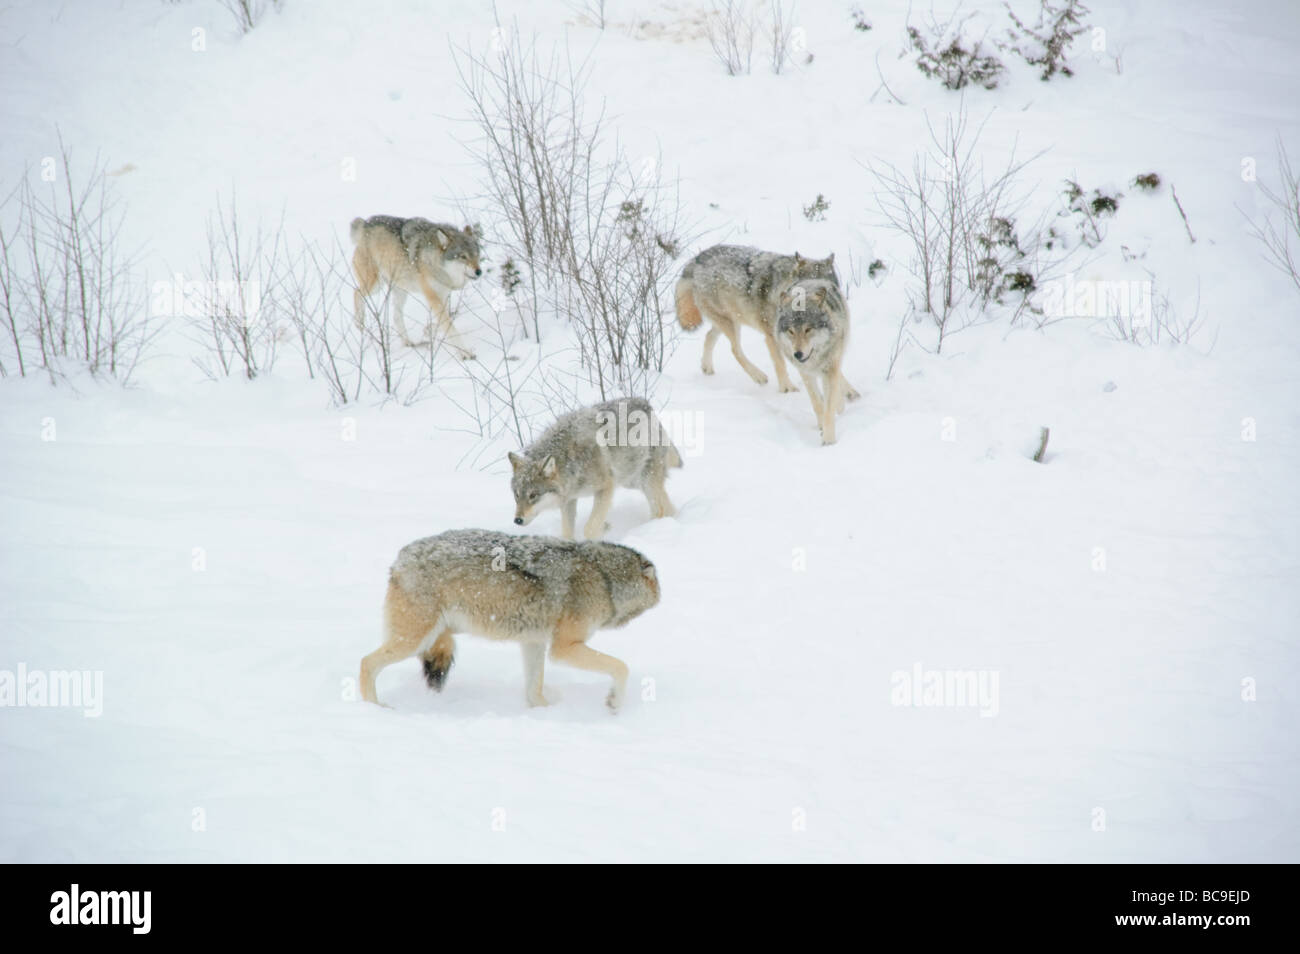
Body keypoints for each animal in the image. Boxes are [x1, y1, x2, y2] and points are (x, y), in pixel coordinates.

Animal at [350, 215, 482, 359]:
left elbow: (442, 322)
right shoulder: (433, 297)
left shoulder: (443, 295)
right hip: (375, 286)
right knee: (356, 292)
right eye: (463, 257)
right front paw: (465, 352)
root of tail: (365, 223)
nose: (479, 272)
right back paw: (359, 323)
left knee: (396, 317)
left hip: (400, 290)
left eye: (476, 254)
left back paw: (408, 342)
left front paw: (429, 330)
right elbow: (450, 327)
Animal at [359, 529, 660, 711]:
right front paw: (615, 702)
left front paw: (547, 713)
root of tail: (400, 559)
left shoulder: (534, 642)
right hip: (414, 639)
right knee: (366, 663)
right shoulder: (564, 648)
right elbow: (621, 667)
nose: (661, 598)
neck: (604, 579)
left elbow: (534, 692)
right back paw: (375, 708)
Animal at [509, 397, 682, 540]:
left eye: (533, 495)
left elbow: (590, 528)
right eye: (517, 495)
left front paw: (603, 530)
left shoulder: (605, 488)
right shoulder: (569, 499)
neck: (571, 463)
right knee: (666, 507)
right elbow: (567, 533)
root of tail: (646, 404)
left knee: (661, 509)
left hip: (645, 480)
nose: (517, 520)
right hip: (631, 481)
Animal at [674, 244, 839, 392]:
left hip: (729, 320)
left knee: (709, 336)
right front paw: (787, 389)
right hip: (730, 323)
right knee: (735, 350)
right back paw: (759, 376)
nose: (825, 301)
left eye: (827, 286)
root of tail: (697, 259)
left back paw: (707, 367)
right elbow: (780, 363)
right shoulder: (773, 336)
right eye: (807, 285)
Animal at [775, 279, 860, 445]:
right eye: (791, 331)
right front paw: (821, 427)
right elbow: (817, 403)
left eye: (808, 329)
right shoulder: (806, 373)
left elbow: (829, 407)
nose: (798, 354)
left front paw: (828, 440)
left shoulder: (829, 368)